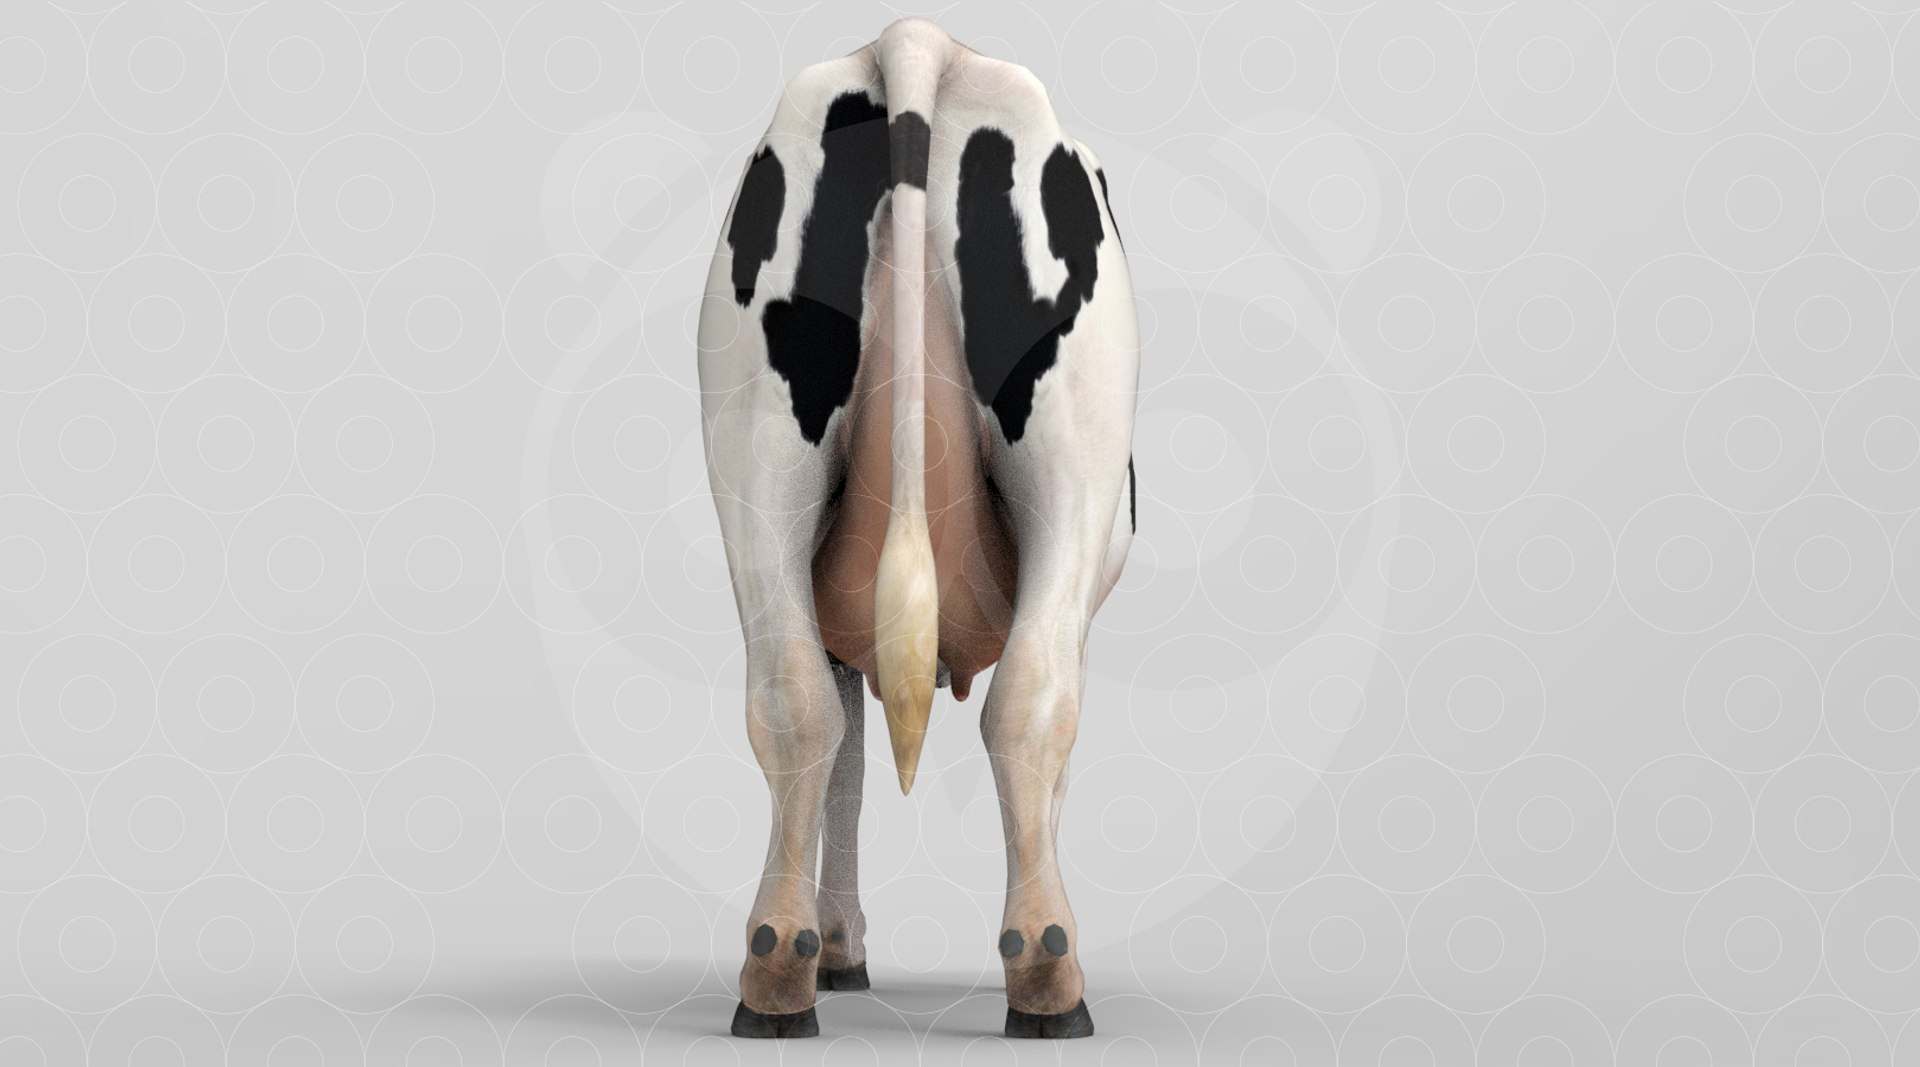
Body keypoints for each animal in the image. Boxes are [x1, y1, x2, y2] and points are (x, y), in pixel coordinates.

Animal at [695, 17, 1138, 1039]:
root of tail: (913, 39)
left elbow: (846, 756)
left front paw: (836, 947)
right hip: (1076, 474)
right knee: (1035, 699)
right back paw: (1050, 973)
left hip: (755, 462)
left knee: (788, 700)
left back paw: (776, 970)